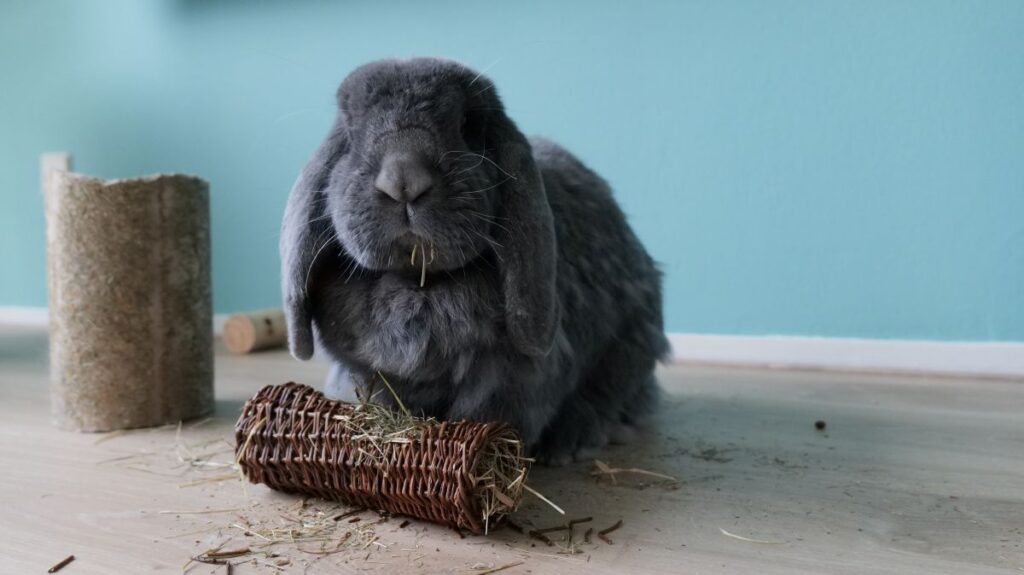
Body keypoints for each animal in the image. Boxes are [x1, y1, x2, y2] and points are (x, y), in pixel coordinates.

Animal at [280, 58, 668, 464]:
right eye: (351, 131)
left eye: (467, 125)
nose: (403, 181)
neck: (418, 283)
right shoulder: (368, 372)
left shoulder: (508, 376)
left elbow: (481, 413)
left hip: (629, 346)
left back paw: (574, 440)